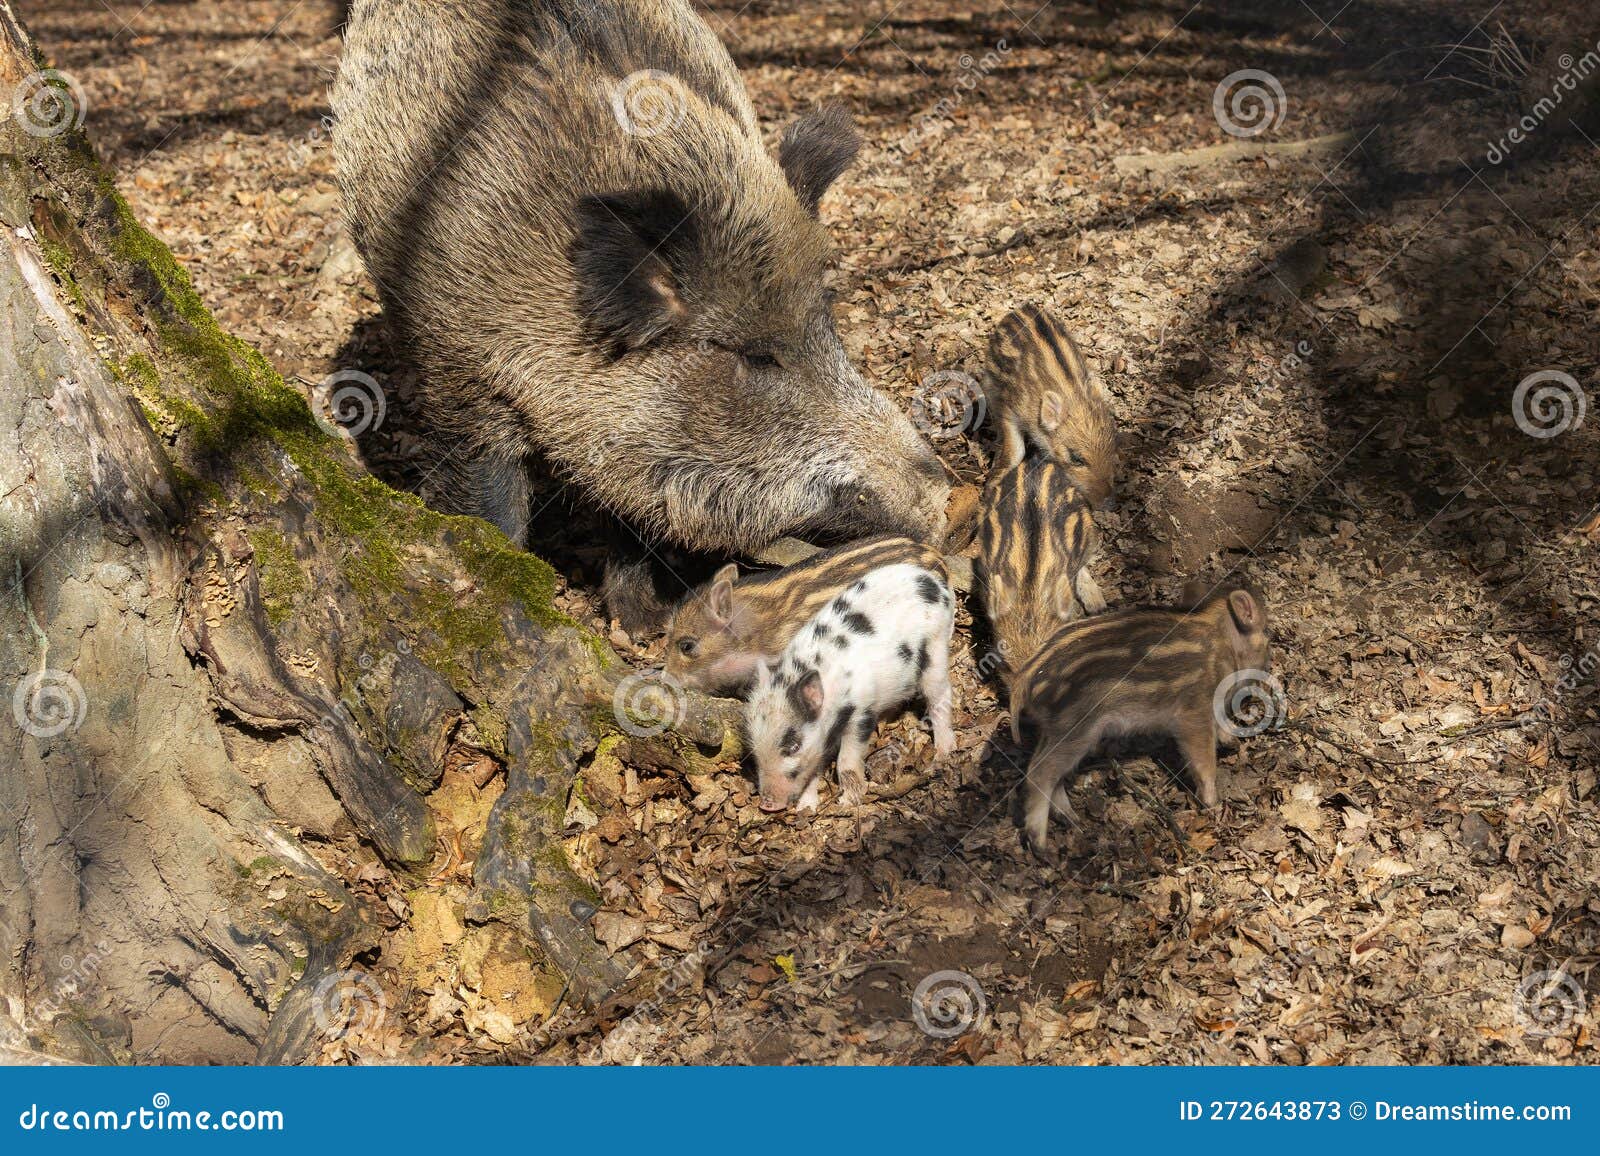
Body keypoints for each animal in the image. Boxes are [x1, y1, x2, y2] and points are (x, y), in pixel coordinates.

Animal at [331, 1, 949, 628]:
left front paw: (645, 621)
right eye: (754, 356)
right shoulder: (464, 378)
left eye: (827, 321)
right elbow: (493, 504)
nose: (943, 494)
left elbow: (632, 521)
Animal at [745, 564, 957, 812]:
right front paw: (806, 809)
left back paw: (944, 753)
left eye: (793, 747)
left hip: (936, 646)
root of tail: (932, 580)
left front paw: (848, 802)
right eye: (754, 748)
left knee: (940, 696)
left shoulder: (861, 712)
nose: (767, 805)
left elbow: (846, 761)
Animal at [984, 304, 1118, 511]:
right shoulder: (1011, 409)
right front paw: (989, 487)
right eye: (1076, 458)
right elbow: (1016, 450)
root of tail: (1022, 308)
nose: (1109, 504)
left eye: (1112, 450)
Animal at [1009, 582, 1272, 854]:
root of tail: (1024, 679)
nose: (1268, 668)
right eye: (1266, 632)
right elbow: (1203, 758)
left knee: (1042, 766)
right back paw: (1041, 844)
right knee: (1040, 771)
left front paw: (1231, 743)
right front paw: (1212, 803)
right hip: (1075, 727)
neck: (1222, 643)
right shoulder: (1193, 709)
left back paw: (1071, 819)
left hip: (1053, 728)